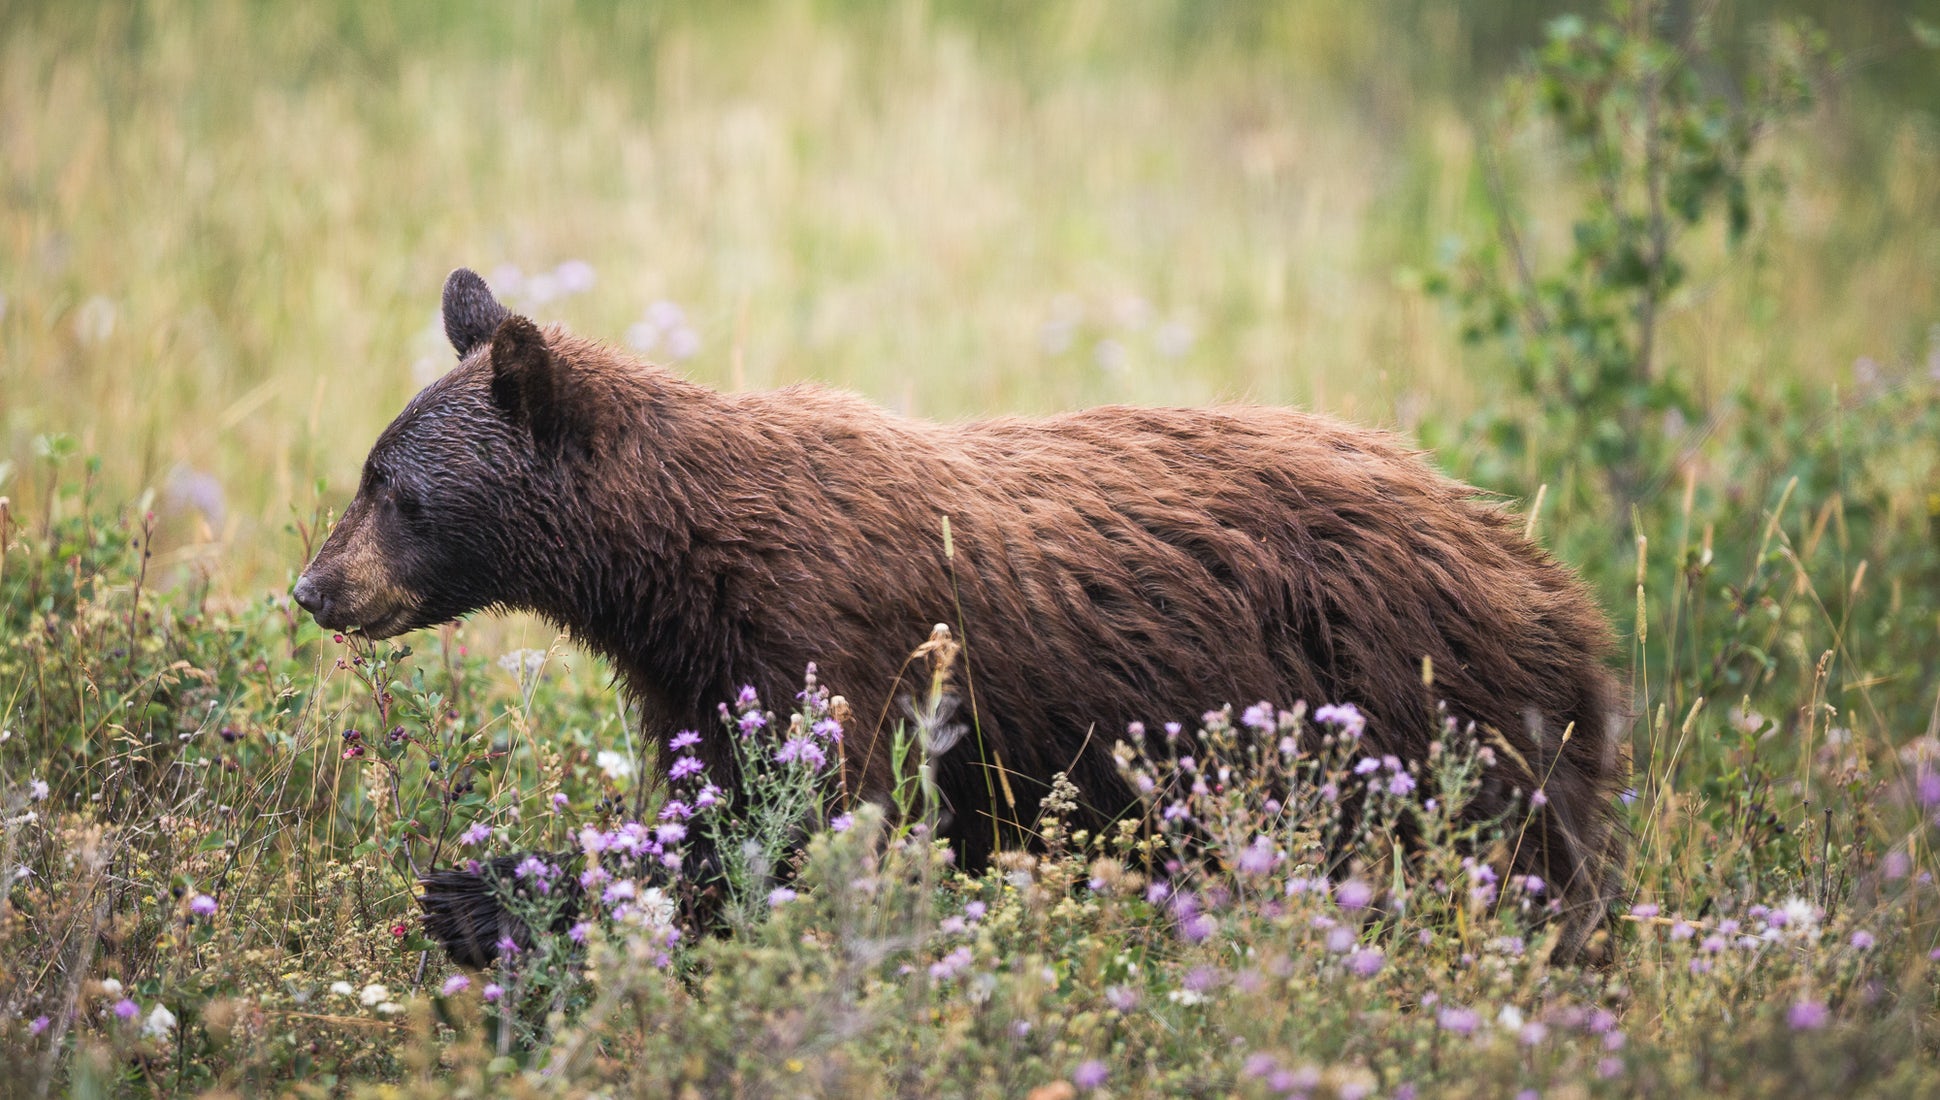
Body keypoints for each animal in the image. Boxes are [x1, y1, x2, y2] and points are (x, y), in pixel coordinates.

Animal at [294, 268, 1630, 964]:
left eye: (394, 491)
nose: (314, 587)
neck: (673, 566)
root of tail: (1547, 576)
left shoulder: (831, 631)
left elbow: (818, 823)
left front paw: (480, 896)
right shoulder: (693, 667)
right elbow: (713, 792)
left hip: (1423, 709)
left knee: (1512, 862)